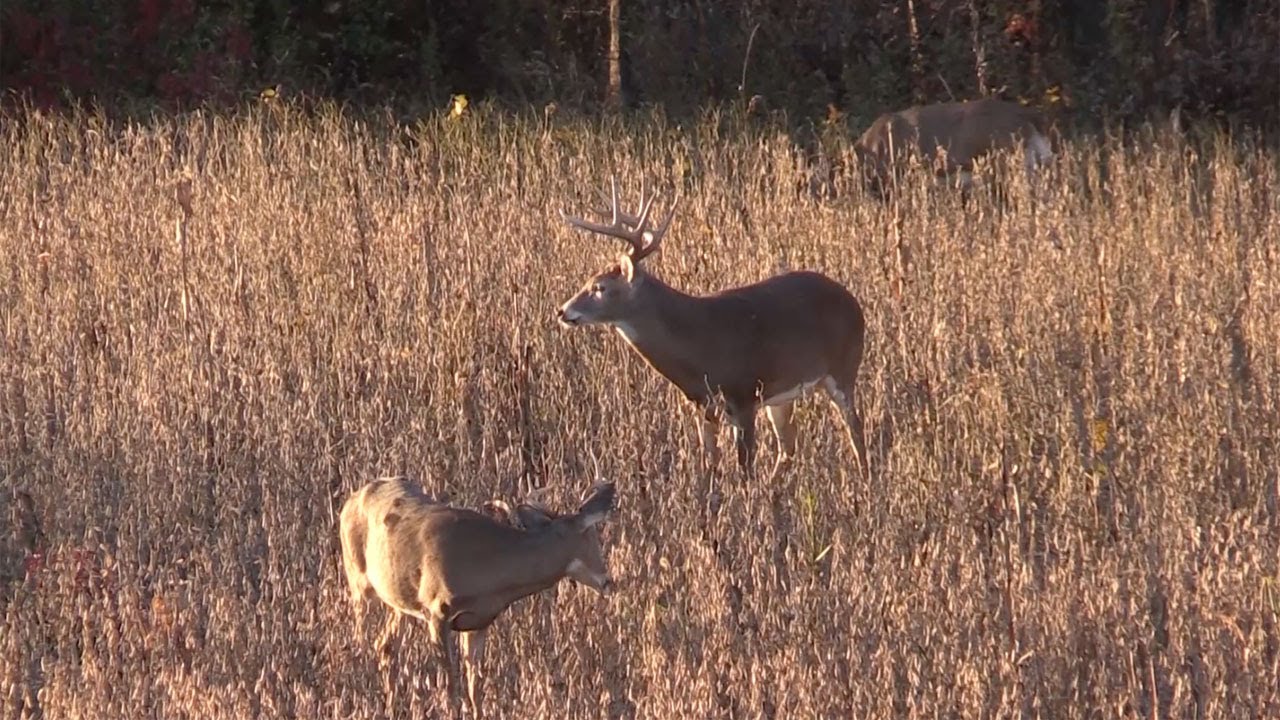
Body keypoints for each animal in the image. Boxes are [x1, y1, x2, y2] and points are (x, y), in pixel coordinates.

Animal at [339, 476, 617, 716]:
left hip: (398, 600)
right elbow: (451, 689)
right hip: (357, 581)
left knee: (385, 646)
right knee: (361, 641)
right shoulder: (436, 611)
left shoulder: (479, 621)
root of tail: (351, 500)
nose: (607, 581)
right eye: (591, 533)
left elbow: (475, 690)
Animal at [556, 179, 869, 480]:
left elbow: (744, 469)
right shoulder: (704, 406)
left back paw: (865, 481)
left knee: (855, 427)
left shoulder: (744, 395)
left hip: (844, 367)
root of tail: (853, 302)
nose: (562, 310)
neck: (697, 343)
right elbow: (711, 464)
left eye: (599, 287)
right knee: (788, 446)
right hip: (783, 393)